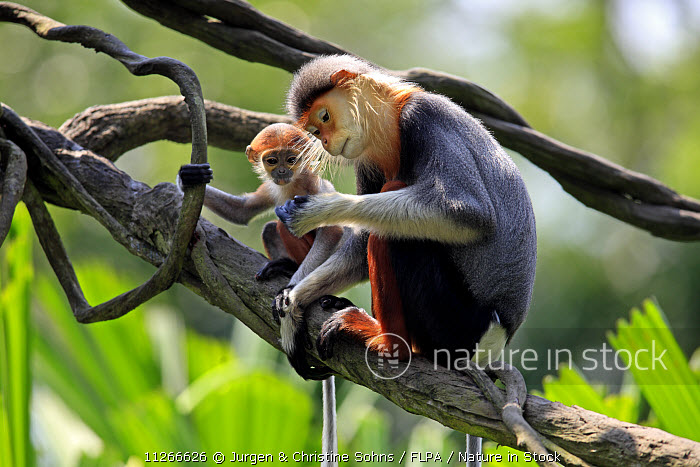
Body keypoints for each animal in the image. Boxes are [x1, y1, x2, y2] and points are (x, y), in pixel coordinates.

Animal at [273, 55, 536, 465]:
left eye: (324, 118)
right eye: (315, 130)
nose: (327, 143)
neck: (392, 121)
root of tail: (495, 342)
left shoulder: (423, 117)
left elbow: (468, 213)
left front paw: (320, 210)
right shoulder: (366, 157)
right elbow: (359, 246)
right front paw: (295, 301)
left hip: (456, 325)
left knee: (396, 229)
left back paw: (388, 344)